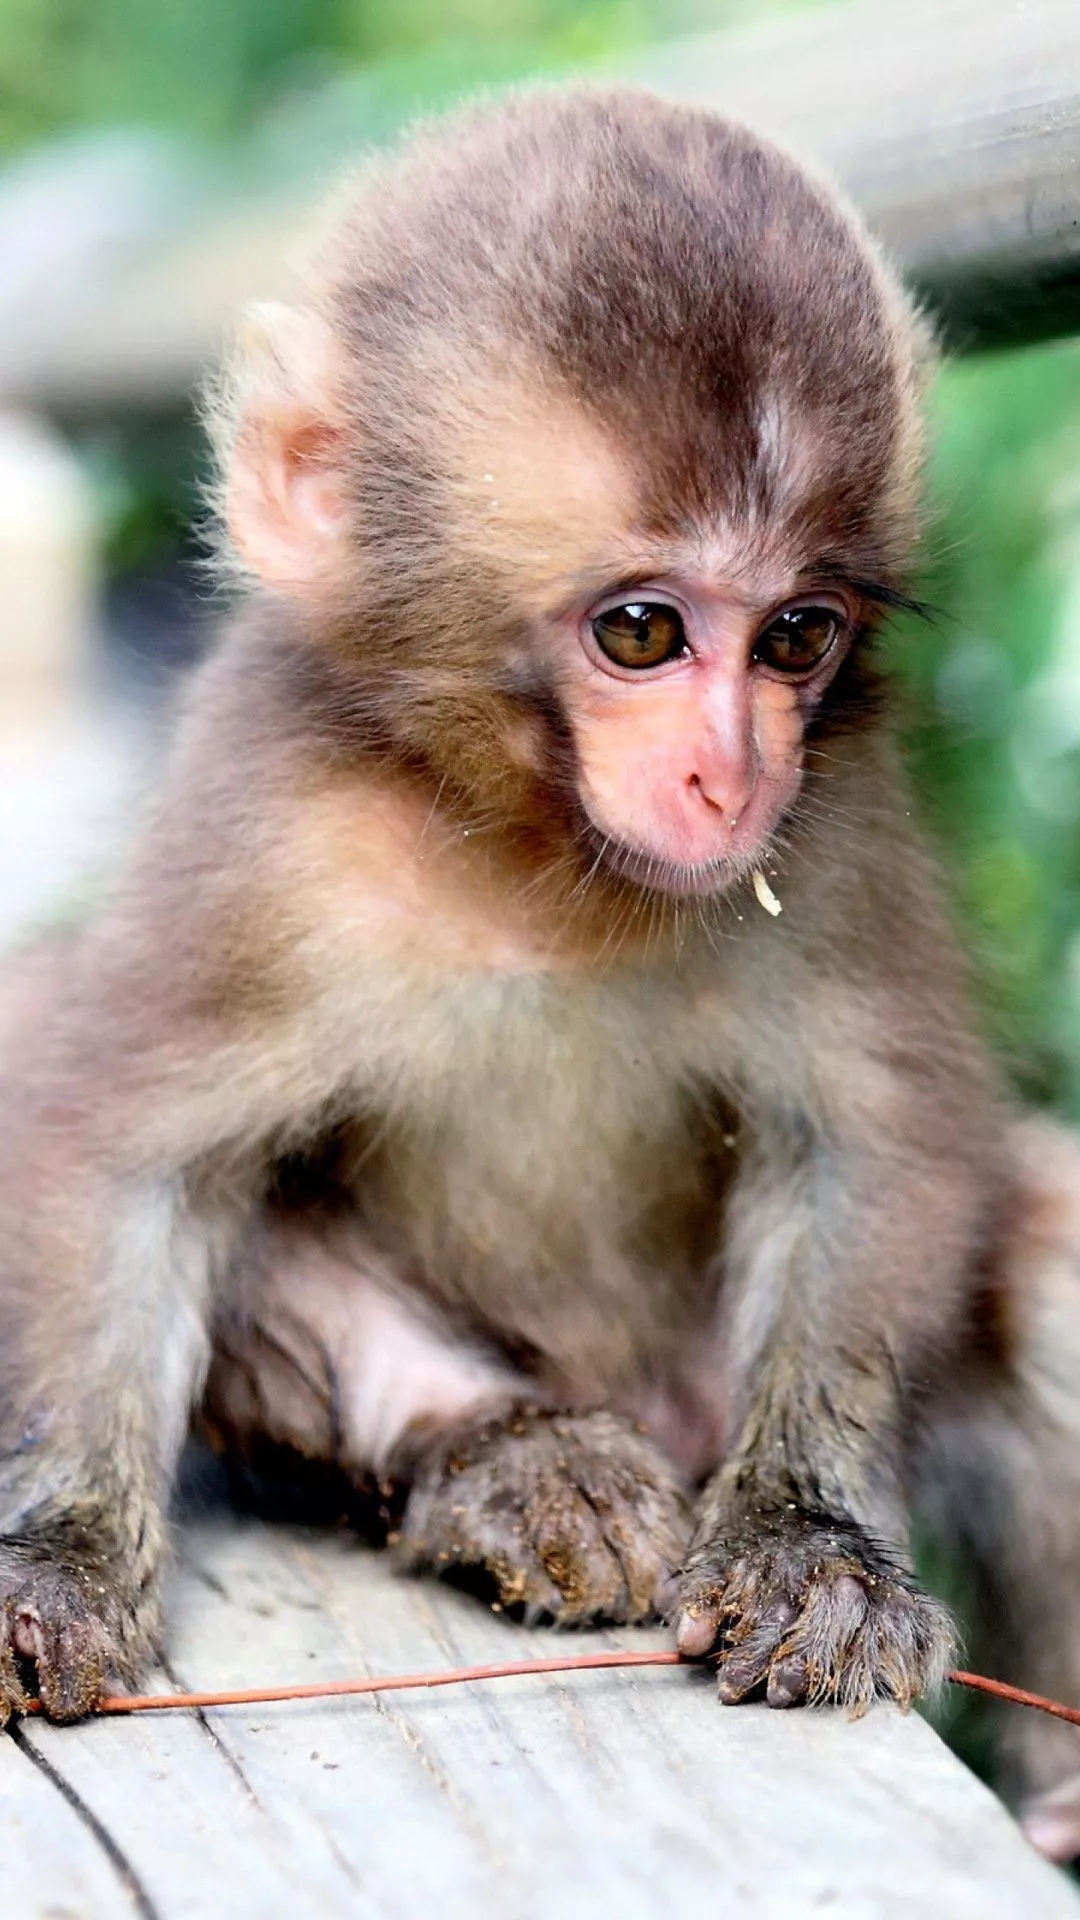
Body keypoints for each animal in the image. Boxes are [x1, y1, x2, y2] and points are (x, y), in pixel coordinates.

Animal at [2, 83, 1080, 1859]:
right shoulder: (262, 823)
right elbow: (109, 1144)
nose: (732, 777)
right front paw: (57, 1557)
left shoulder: (839, 823)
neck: (536, 853)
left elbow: (882, 1132)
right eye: (642, 633)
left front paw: (811, 1539)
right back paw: (507, 1455)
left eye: (797, 638)